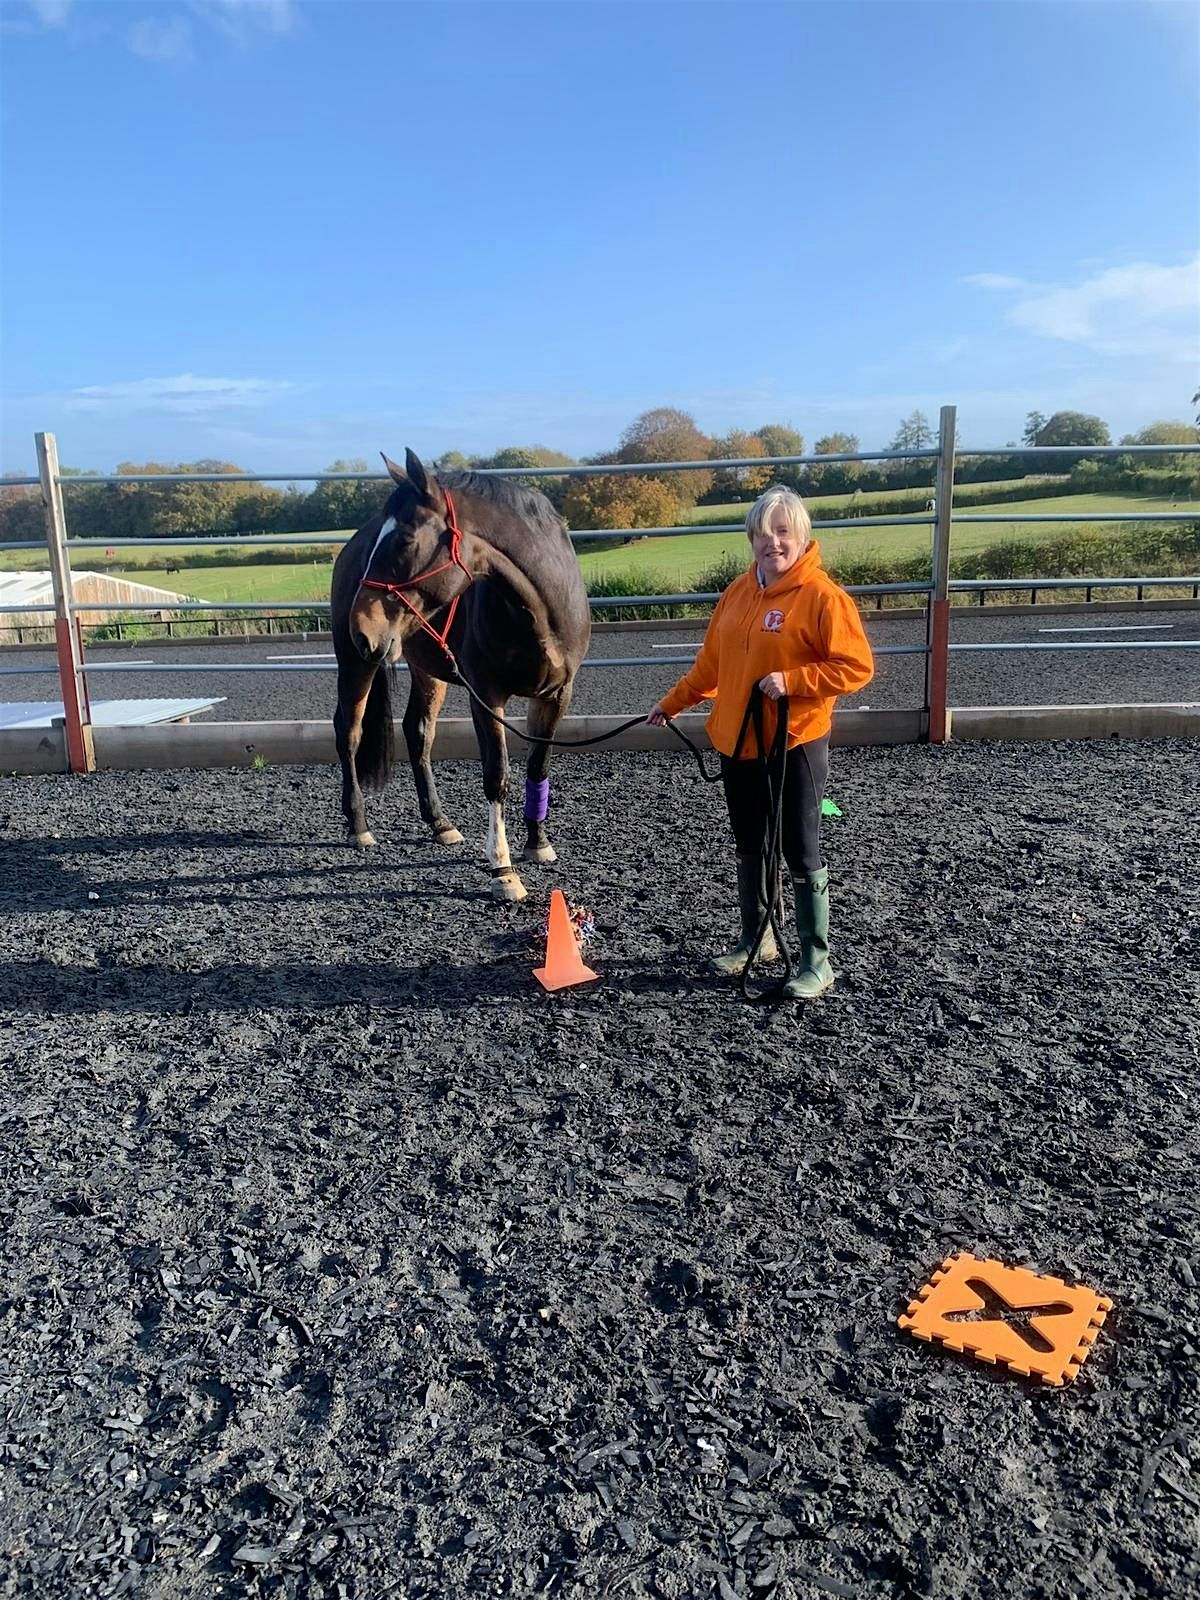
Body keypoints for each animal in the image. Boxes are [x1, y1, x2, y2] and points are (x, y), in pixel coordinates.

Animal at [331, 449, 592, 901]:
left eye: (404, 540)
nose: (361, 630)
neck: (539, 611)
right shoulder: (485, 695)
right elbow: (497, 775)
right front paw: (503, 870)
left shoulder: (557, 694)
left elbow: (538, 765)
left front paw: (538, 843)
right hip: (356, 664)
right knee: (349, 733)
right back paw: (359, 826)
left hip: (426, 667)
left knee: (417, 730)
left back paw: (439, 823)